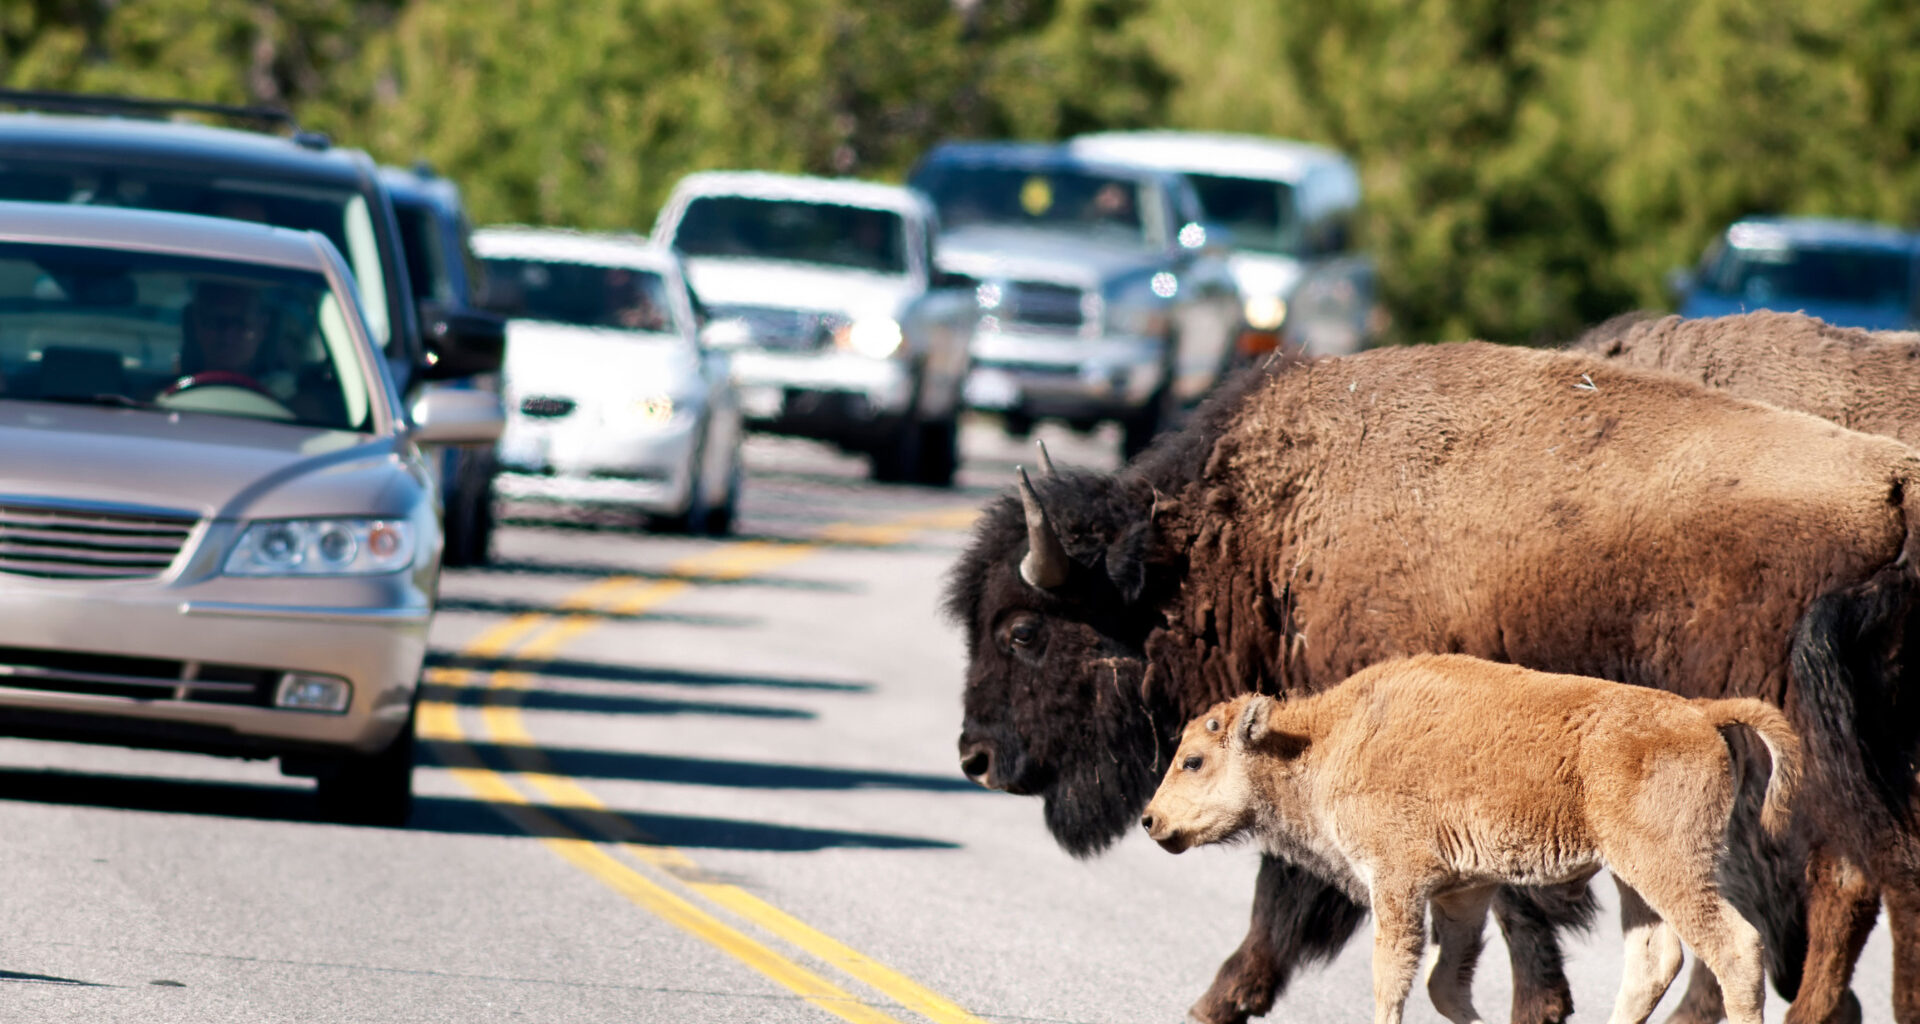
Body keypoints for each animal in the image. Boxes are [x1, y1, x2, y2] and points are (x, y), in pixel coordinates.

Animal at [945, 341, 1920, 1024]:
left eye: (1023, 630)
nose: (976, 757)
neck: (1260, 535)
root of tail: (1895, 491)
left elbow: (1298, 897)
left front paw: (1215, 1002)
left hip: (1782, 773)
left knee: (1819, 889)